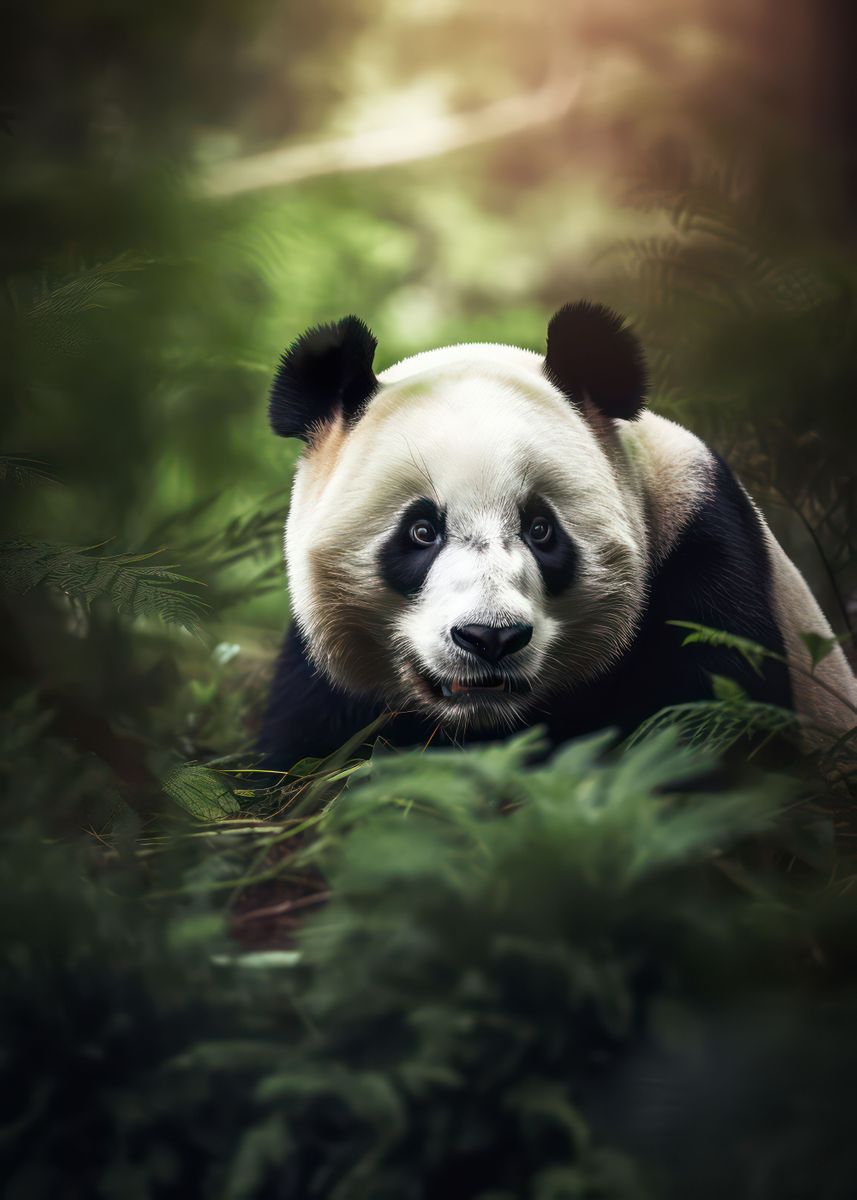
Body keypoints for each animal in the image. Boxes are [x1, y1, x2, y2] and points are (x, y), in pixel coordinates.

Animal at [259, 302, 856, 767]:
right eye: (422, 531)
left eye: (541, 529)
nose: (490, 637)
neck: (488, 722)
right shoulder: (320, 675)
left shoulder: (703, 562)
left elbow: (717, 726)